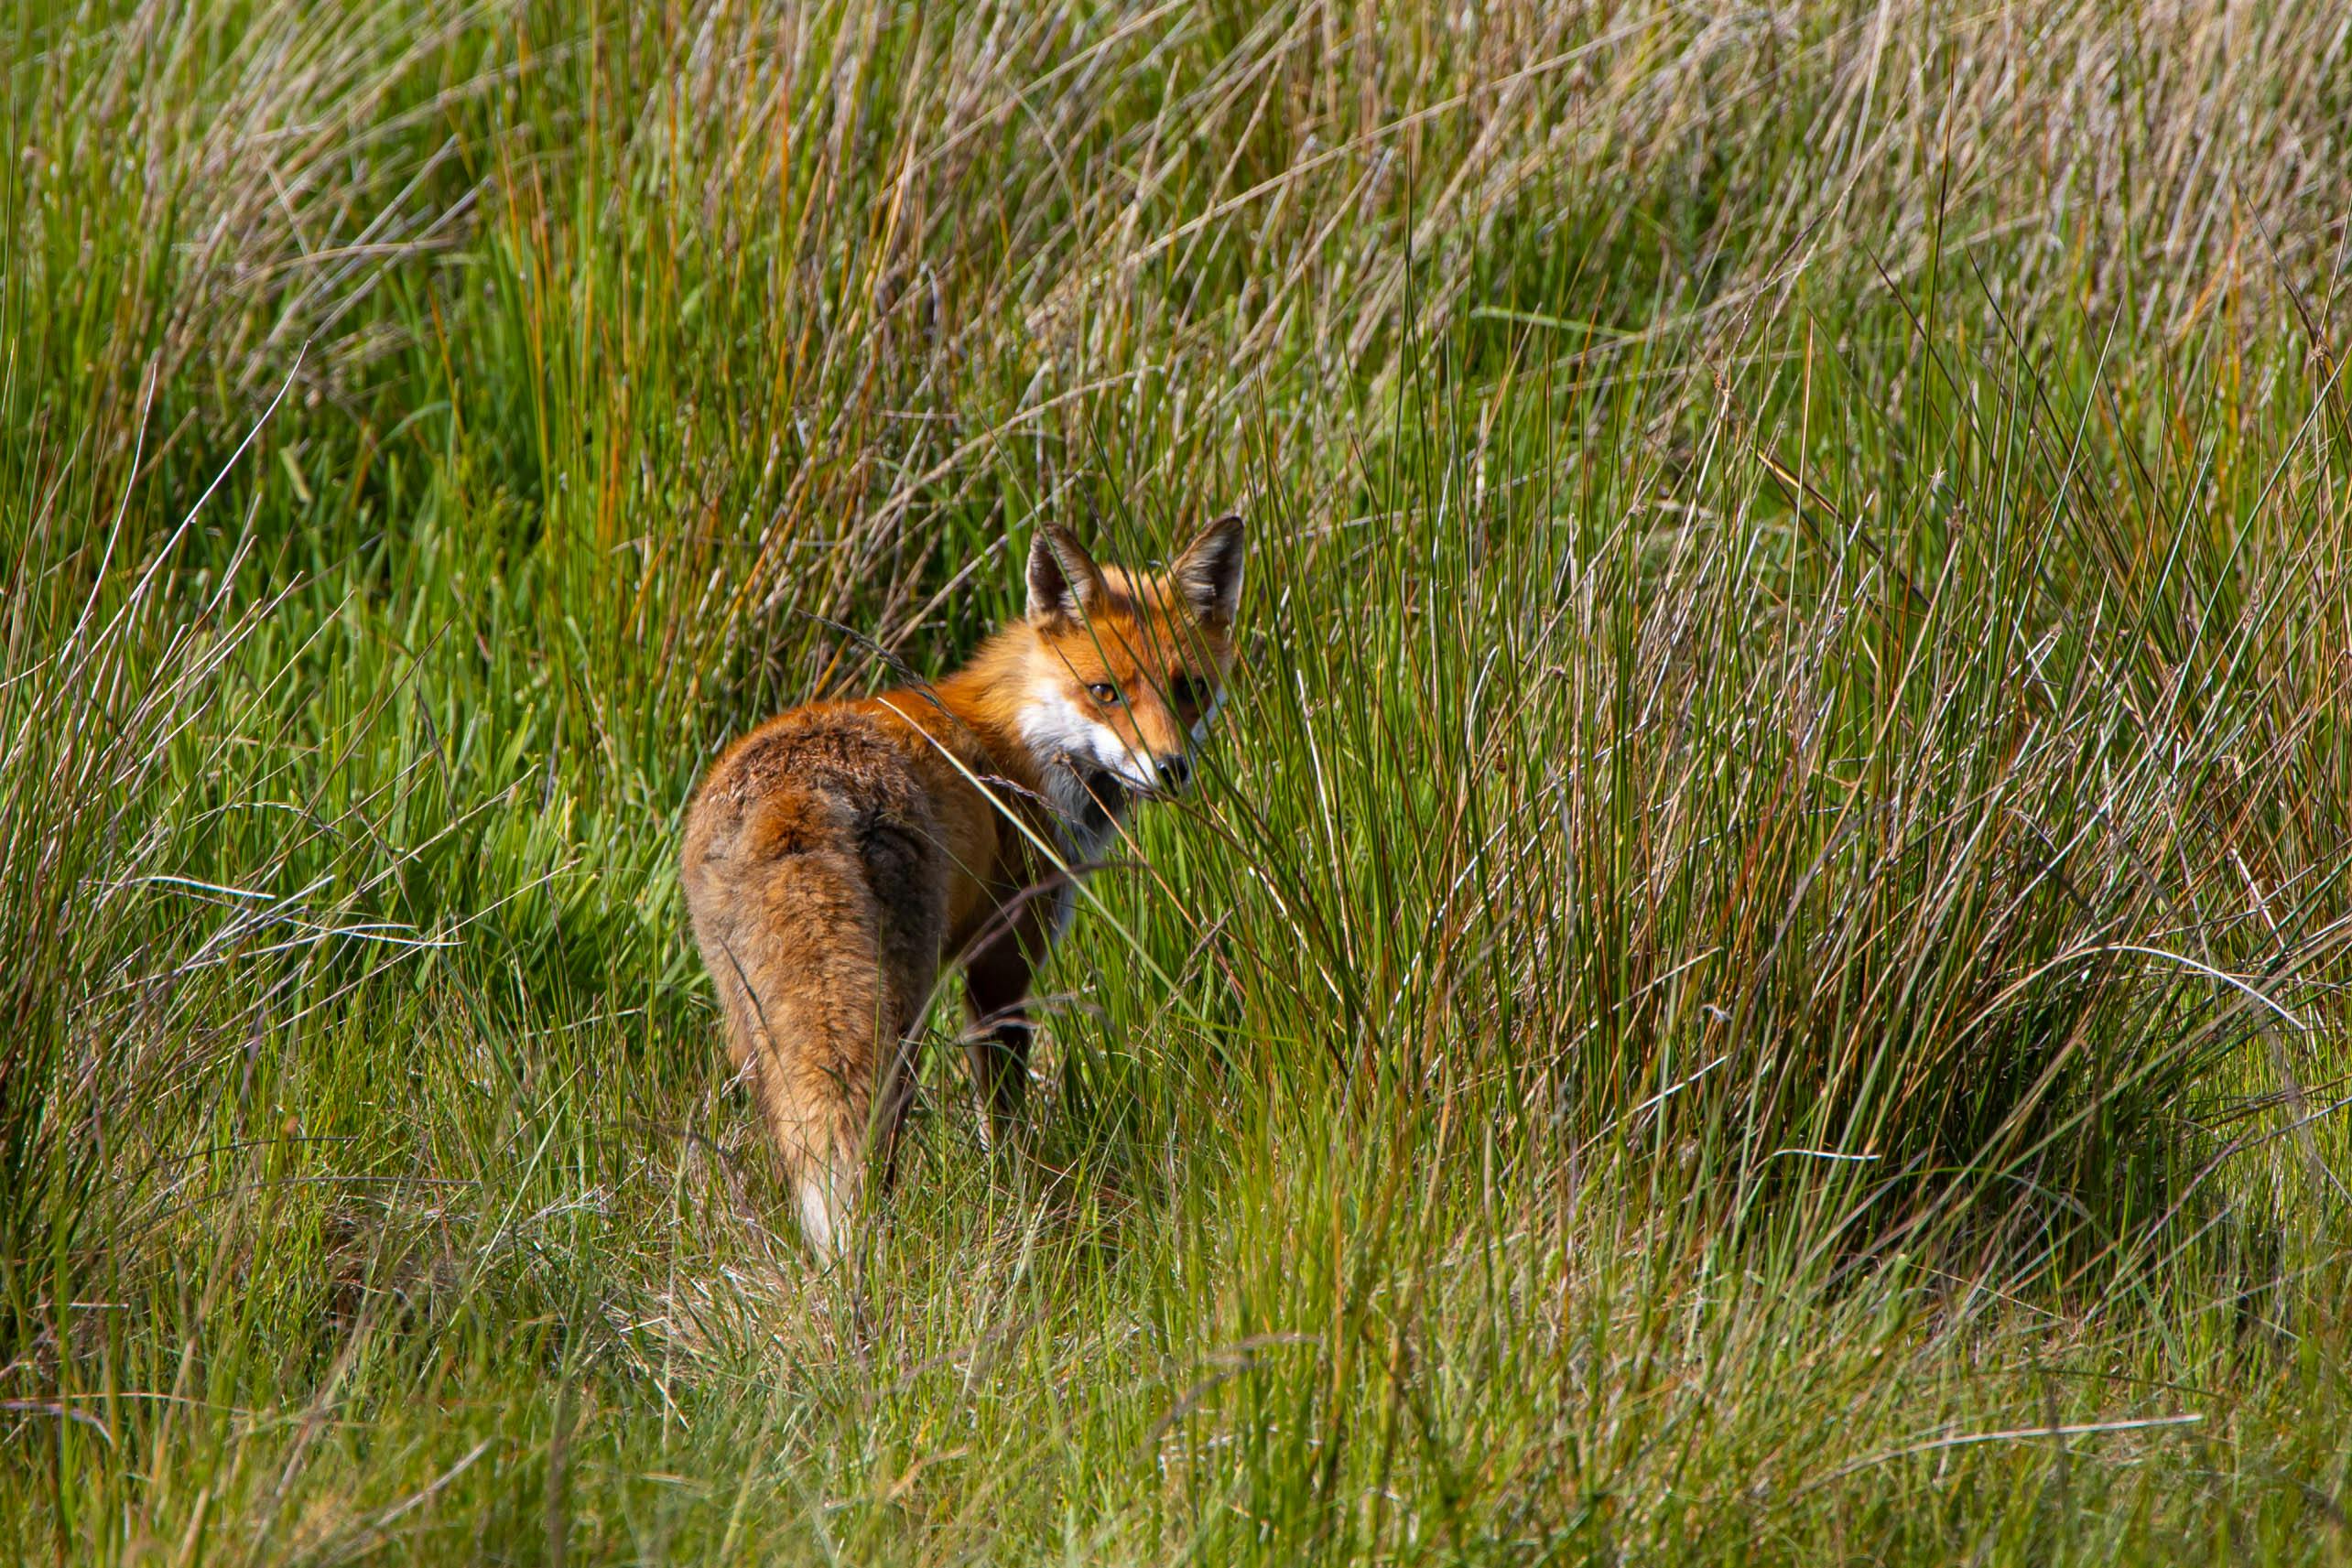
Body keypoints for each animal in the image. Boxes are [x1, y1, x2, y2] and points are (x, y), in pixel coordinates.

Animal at [680, 516, 1245, 1257]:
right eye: (1105, 692)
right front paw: (1017, 1198)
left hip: (751, 1017)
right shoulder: (1000, 962)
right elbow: (1001, 1119)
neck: (1024, 744)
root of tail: (796, 801)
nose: (1170, 767)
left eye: (1189, 688)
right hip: (898, 1013)